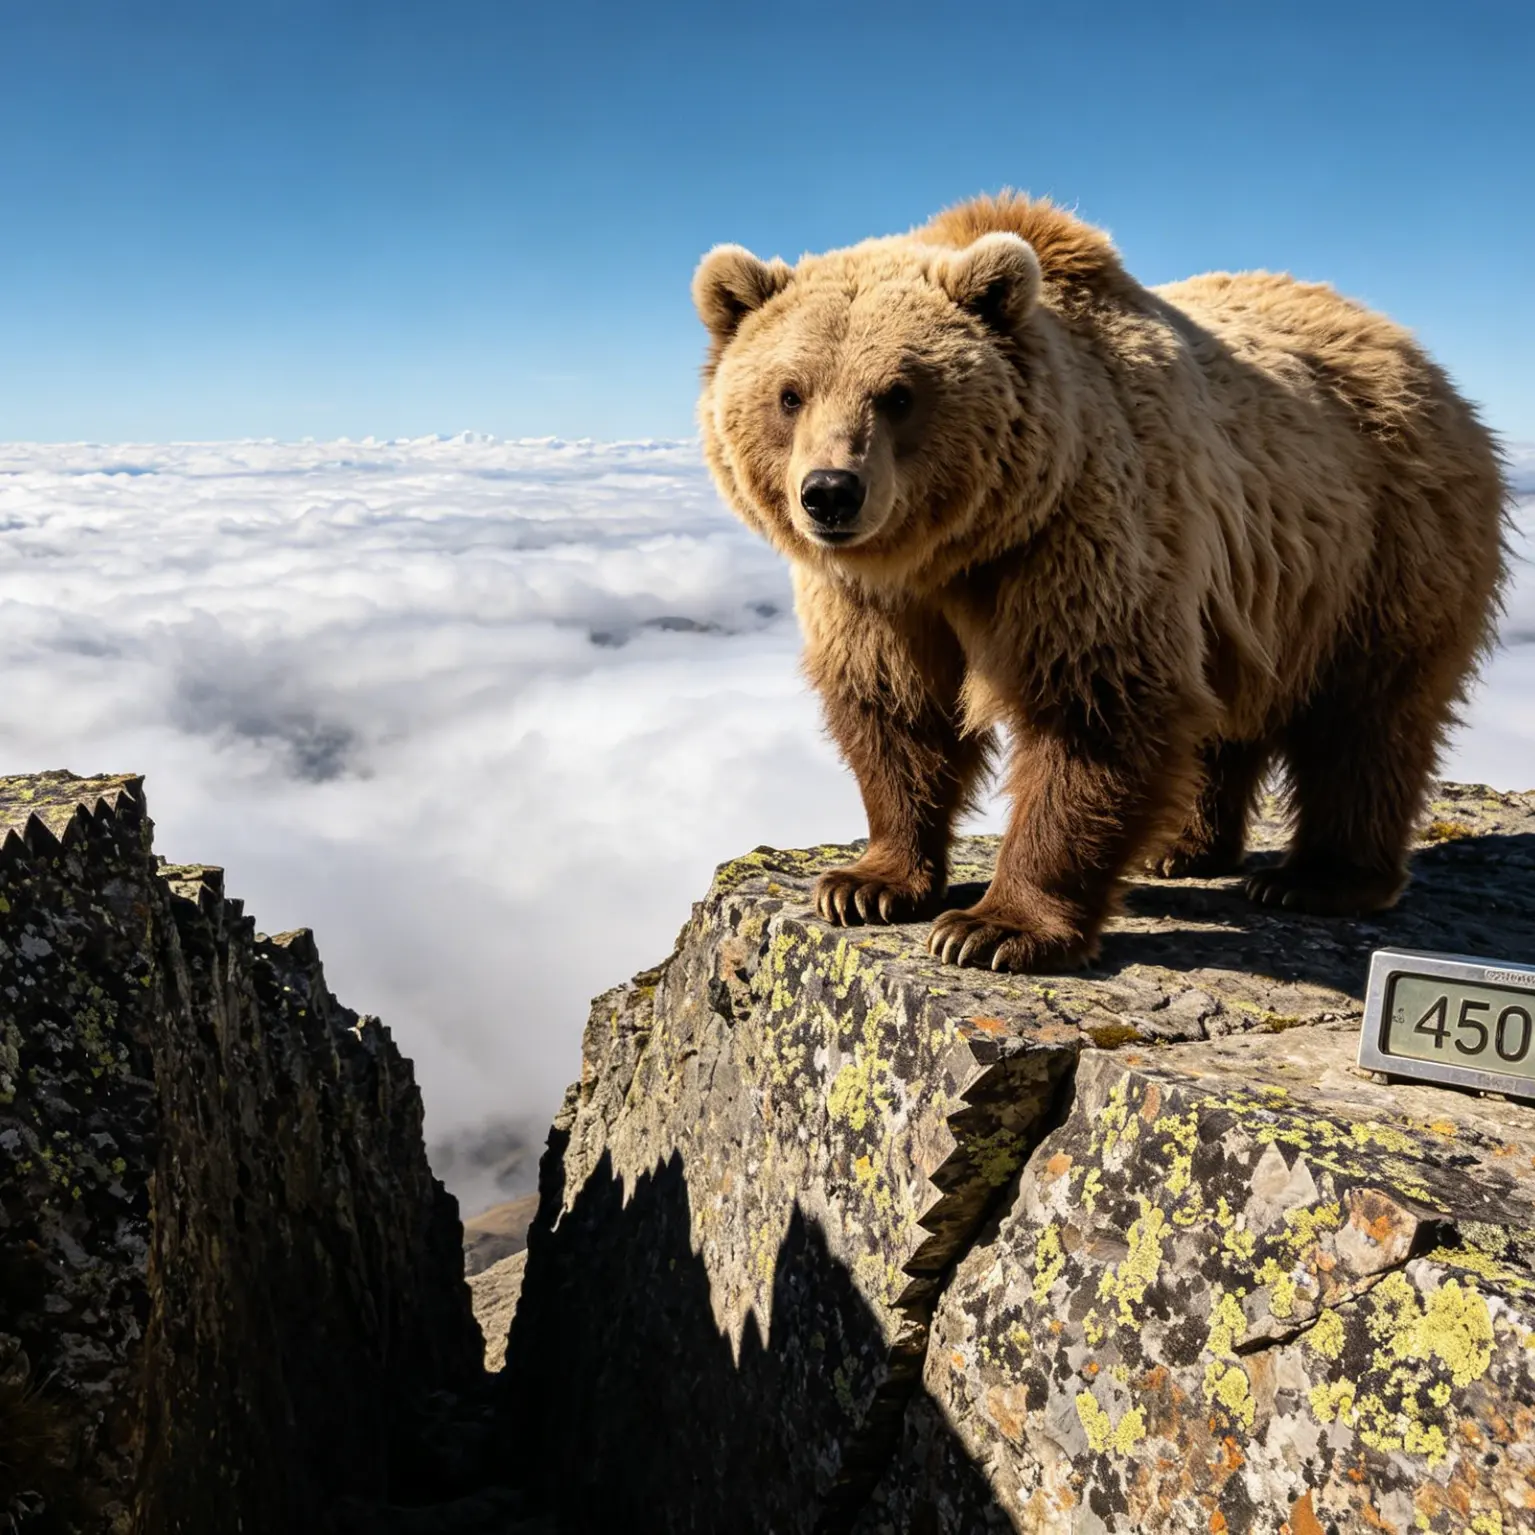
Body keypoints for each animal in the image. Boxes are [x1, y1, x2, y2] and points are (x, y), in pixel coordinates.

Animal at [691, 193, 1508, 972]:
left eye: (898, 392)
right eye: (790, 392)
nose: (830, 492)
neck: (951, 549)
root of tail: (1408, 348)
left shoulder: (1076, 535)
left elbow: (1091, 706)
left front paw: (993, 928)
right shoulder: (875, 599)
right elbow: (895, 709)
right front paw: (866, 883)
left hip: (1381, 546)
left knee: (1366, 717)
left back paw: (1317, 878)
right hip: (1252, 592)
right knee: (1226, 711)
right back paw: (1183, 846)